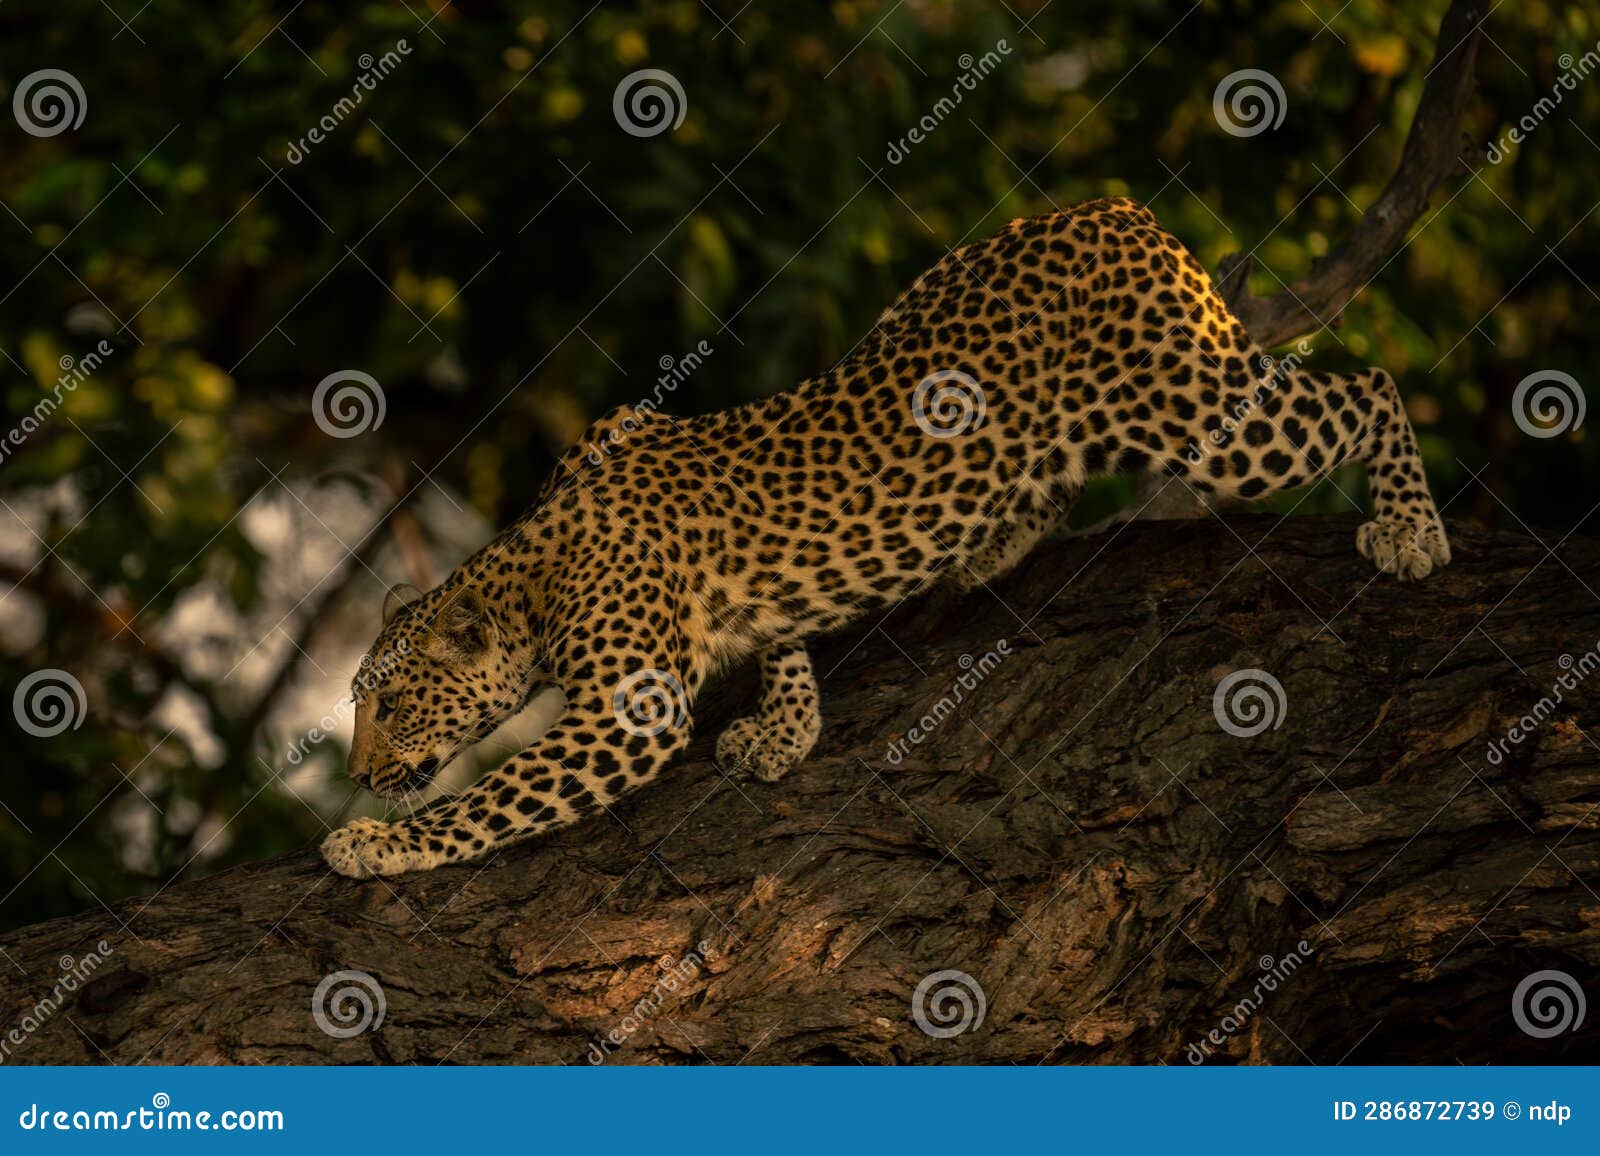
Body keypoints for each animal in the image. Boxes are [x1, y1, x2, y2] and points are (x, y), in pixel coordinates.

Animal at [320, 196, 1451, 878]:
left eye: (392, 701)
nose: (358, 772)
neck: (530, 577)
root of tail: (1113, 211)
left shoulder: (622, 717)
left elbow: (492, 798)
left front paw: (374, 843)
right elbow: (779, 633)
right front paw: (785, 728)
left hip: (1207, 417)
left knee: (1366, 388)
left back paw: (1410, 527)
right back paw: (989, 544)